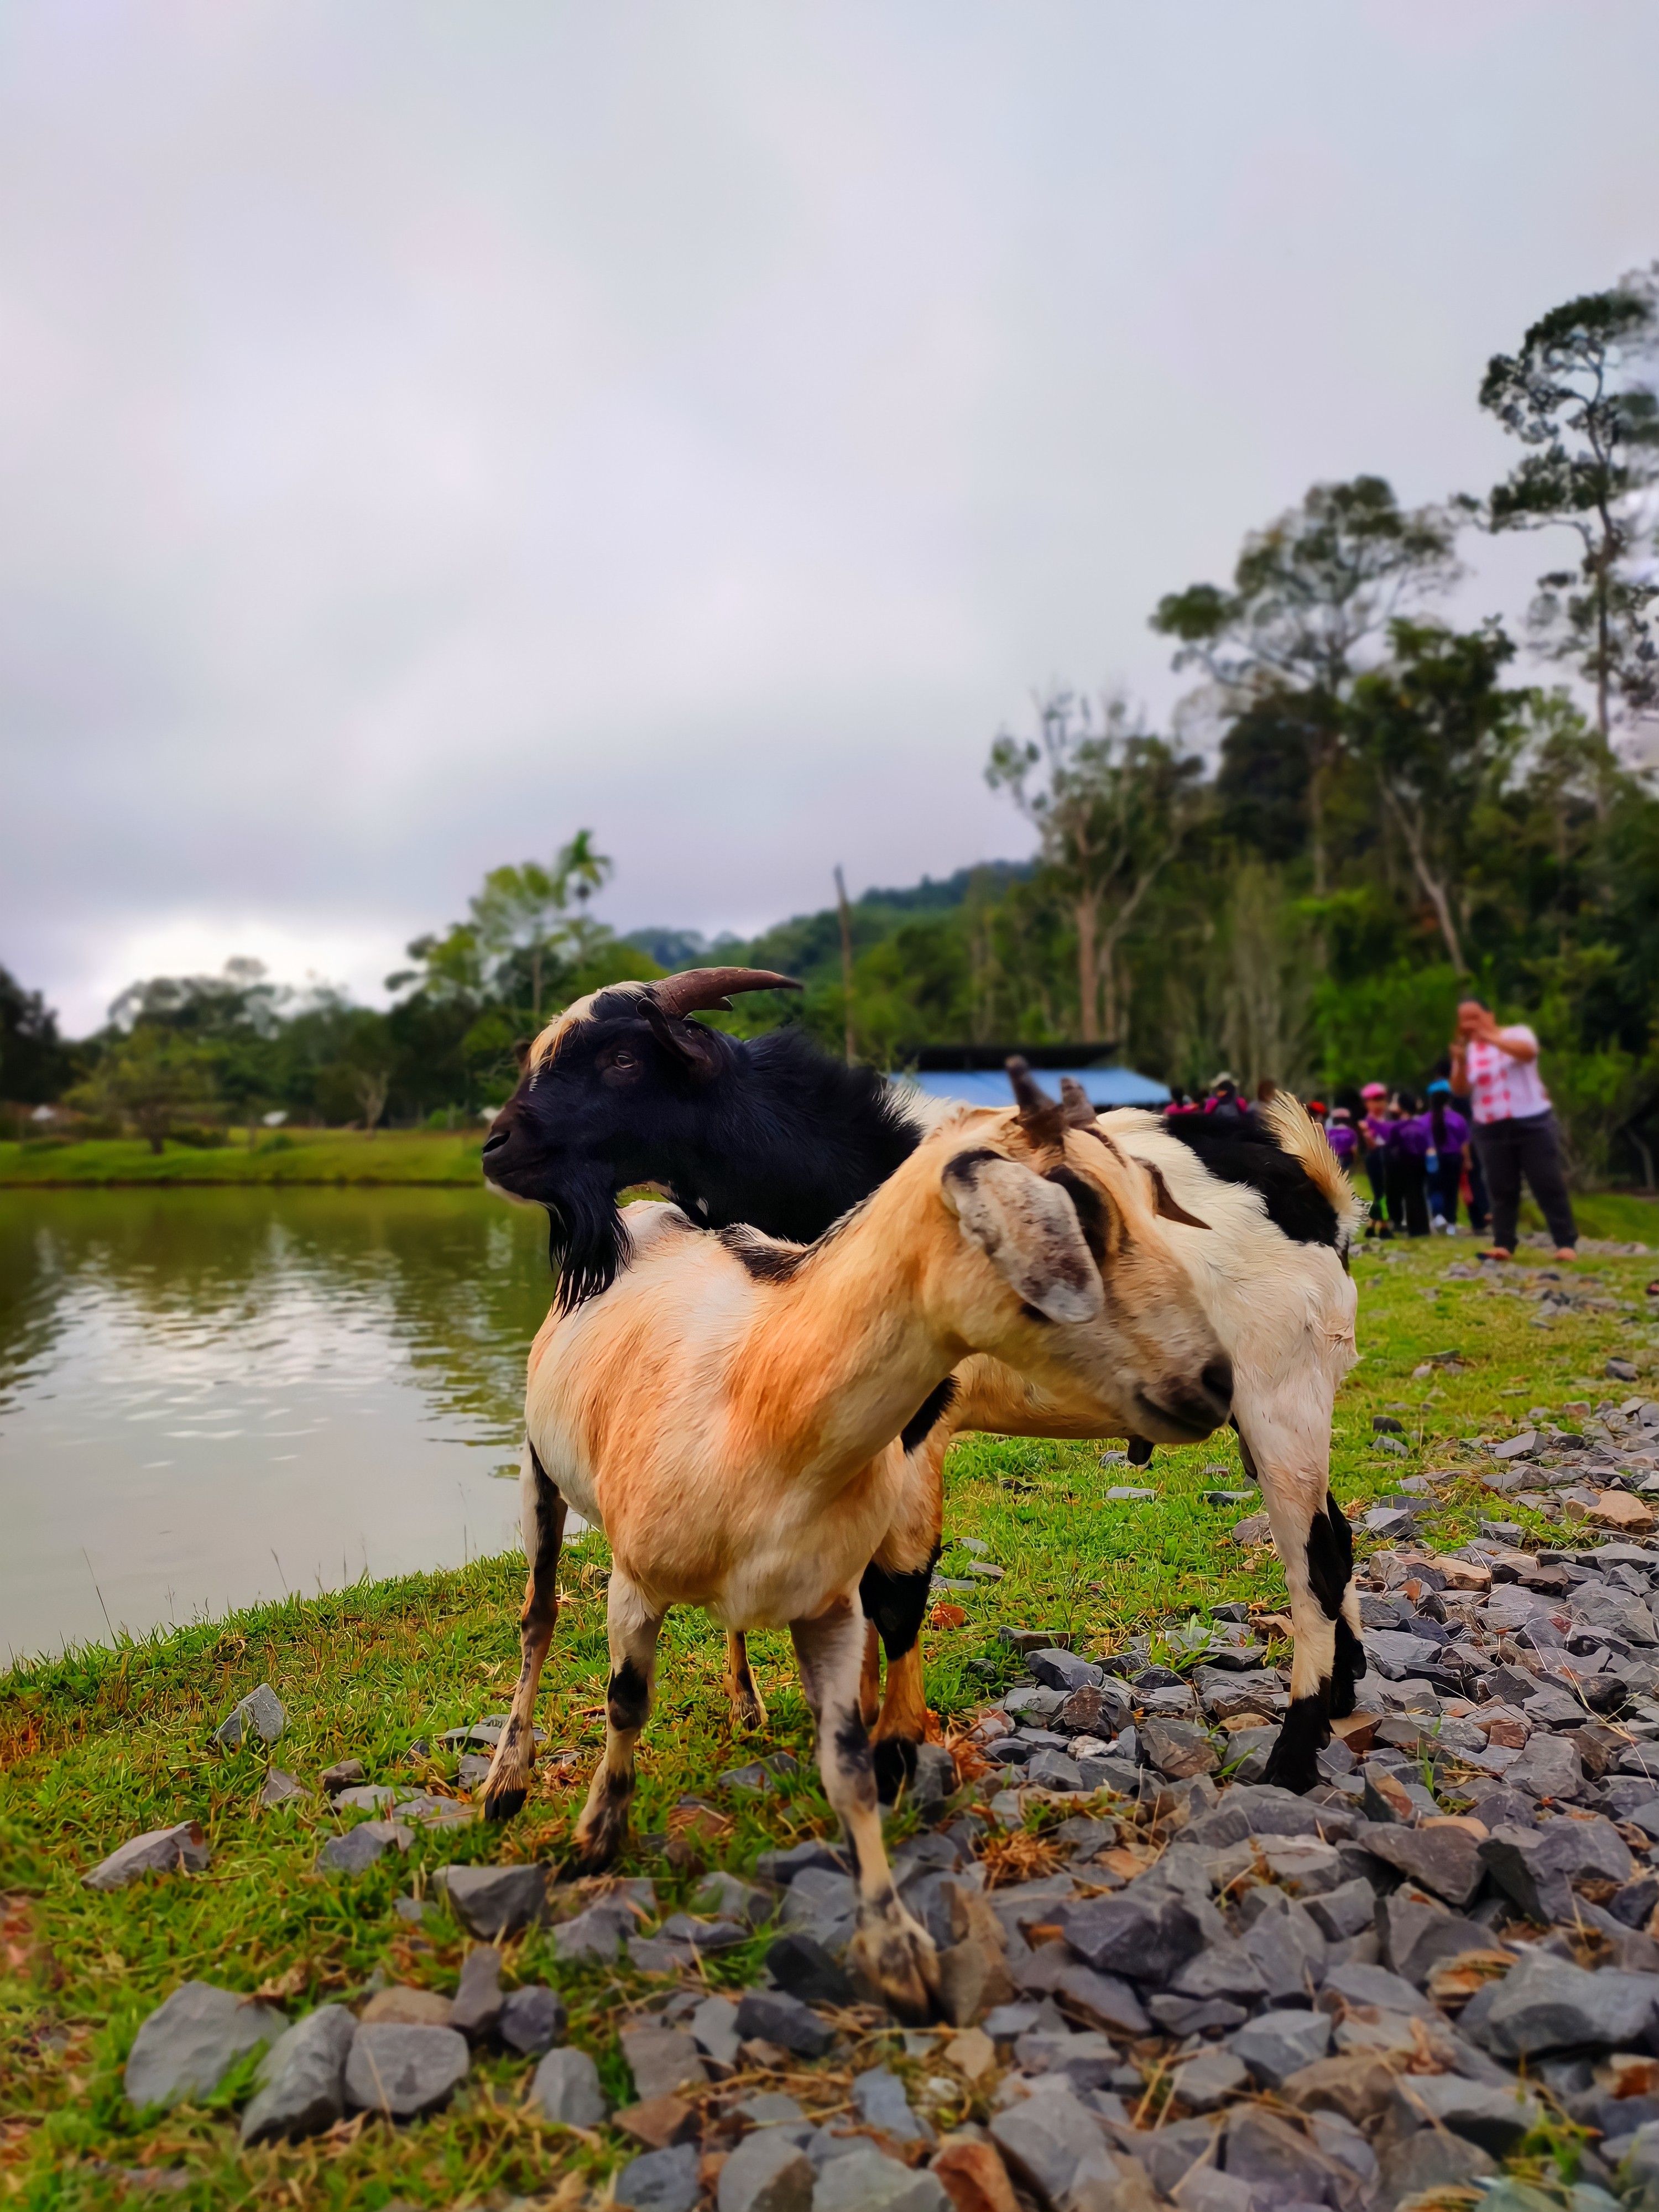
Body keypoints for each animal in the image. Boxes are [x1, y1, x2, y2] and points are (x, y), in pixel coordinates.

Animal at [480, 1081, 1232, 2018]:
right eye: (1081, 1212)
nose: (1215, 1383)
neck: (764, 1397)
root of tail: (648, 1211)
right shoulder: (635, 1581)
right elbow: (625, 1704)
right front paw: (595, 1838)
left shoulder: (831, 1606)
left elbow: (847, 1765)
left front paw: (896, 1948)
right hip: (538, 1468)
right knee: (538, 1616)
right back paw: (505, 1780)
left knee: (723, 1623)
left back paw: (746, 1703)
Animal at [485, 970, 1363, 1795]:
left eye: (623, 1058)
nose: (495, 1147)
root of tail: (1311, 1187)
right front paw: (863, 1713)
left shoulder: (912, 1420)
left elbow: (896, 1587)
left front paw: (895, 1750)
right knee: (1337, 1534)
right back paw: (1345, 1693)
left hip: (1280, 1391)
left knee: (1313, 1558)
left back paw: (1293, 1757)